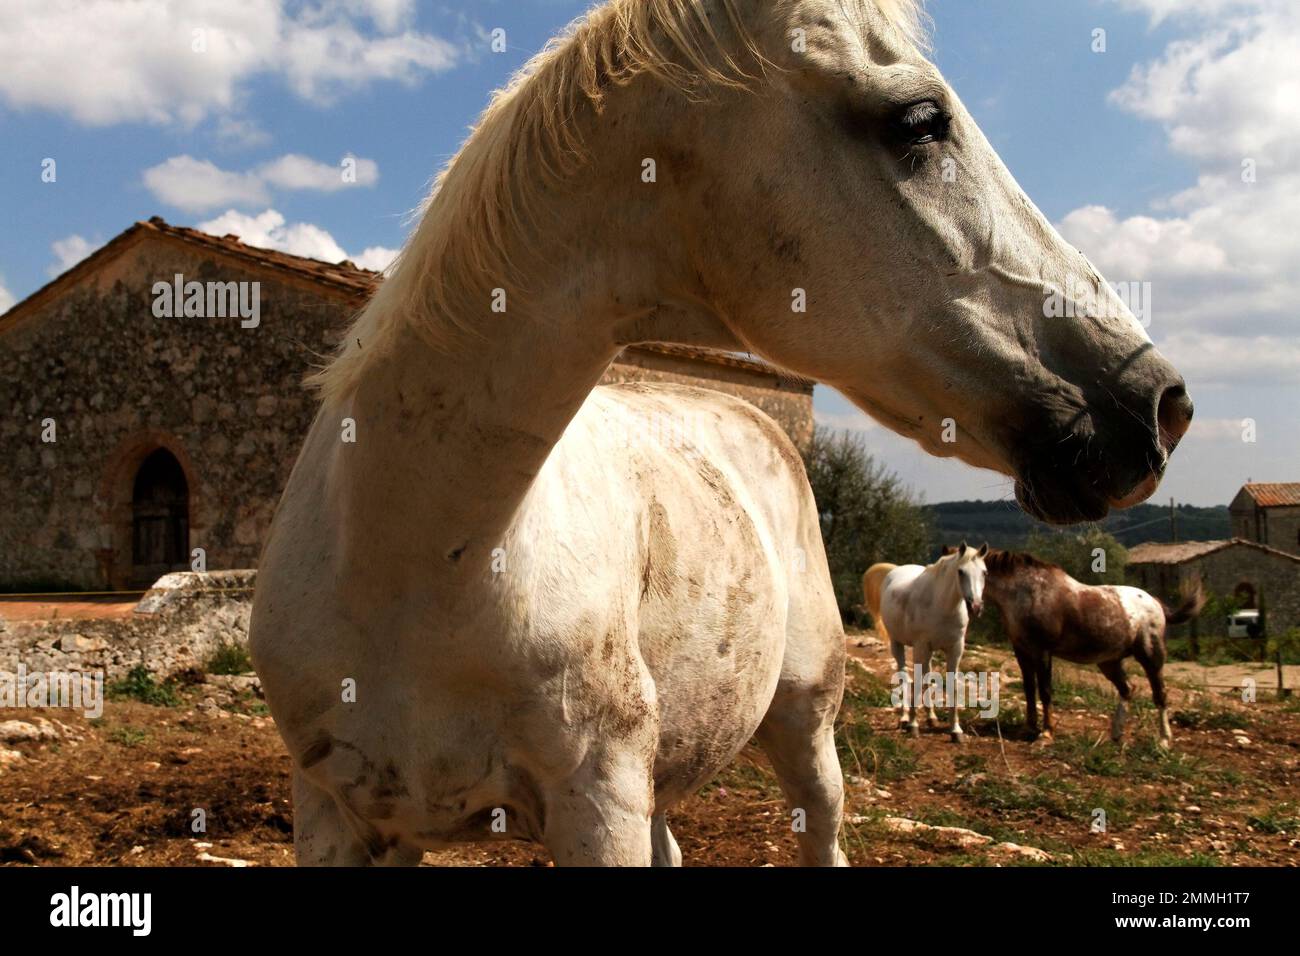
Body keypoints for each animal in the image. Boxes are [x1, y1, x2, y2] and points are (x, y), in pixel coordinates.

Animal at [868, 544, 987, 742]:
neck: (942, 606)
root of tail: (895, 569)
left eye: (984, 572)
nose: (976, 606)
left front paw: (956, 730)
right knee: (903, 674)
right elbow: (915, 682)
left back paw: (931, 717)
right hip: (898, 643)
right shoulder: (920, 647)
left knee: (927, 676)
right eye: (961, 571)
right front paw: (913, 725)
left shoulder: (955, 649)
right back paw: (904, 718)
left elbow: (951, 686)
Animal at [982, 550, 1205, 747]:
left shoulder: (1043, 652)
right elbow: (1029, 690)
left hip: (1151, 656)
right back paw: (1116, 734)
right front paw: (1028, 729)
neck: (1026, 592)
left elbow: (1045, 691)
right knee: (1127, 689)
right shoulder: (1022, 651)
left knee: (1160, 695)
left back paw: (1164, 740)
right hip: (1109, 662)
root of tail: (1156, 603)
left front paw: (1046, 733)